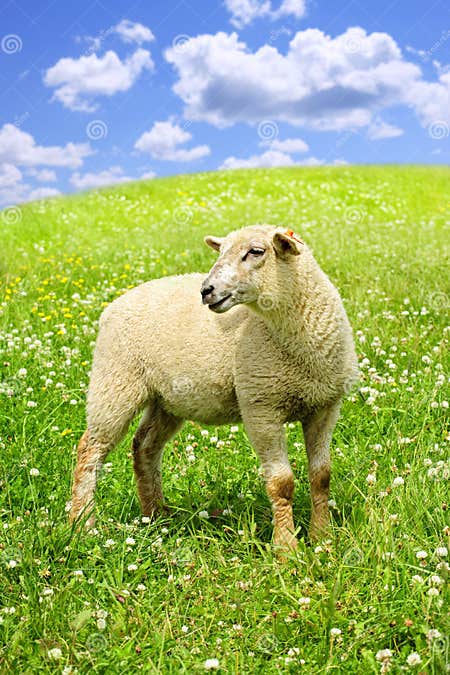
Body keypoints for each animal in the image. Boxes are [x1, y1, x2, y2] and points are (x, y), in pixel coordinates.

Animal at [70, 225, 358, 551]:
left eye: (256, 251)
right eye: (220, 252)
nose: (206, 291)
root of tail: (114, 305)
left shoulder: (325, 407)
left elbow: (321, 476)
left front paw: (323, 538)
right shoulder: (261, 407)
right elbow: (281, 484)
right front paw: (286, 548)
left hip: (167, 399)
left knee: (144, 446)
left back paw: (155, 515)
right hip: (115, 382)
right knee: (89, 451)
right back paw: (82, 524)